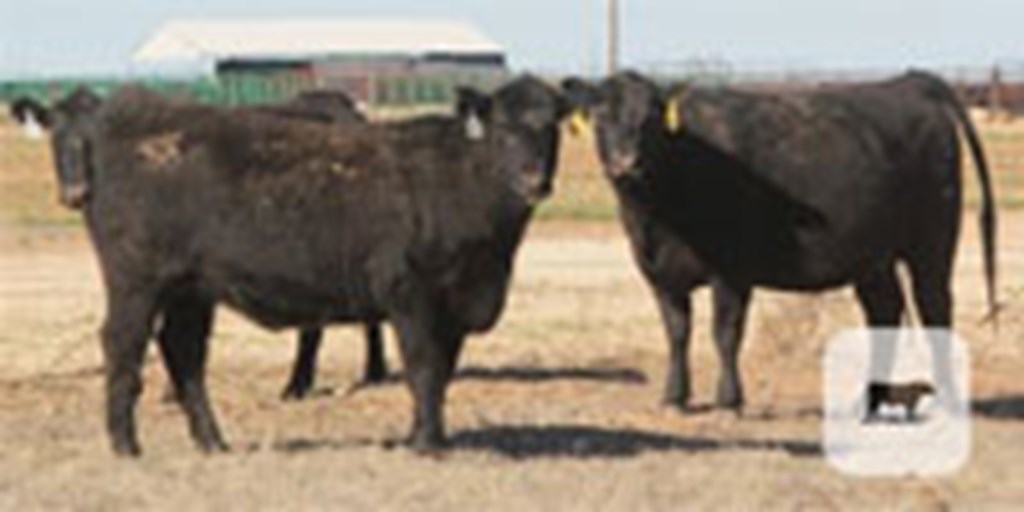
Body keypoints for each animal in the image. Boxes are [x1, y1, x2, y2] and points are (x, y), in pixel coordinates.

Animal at [562, 71, 996, 413]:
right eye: (600, 115)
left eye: (651, 118)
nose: (627, 162)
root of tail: (910, 82)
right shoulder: (660, 275)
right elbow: (677, 333)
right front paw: (675, 397)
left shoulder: (731, 271)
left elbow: (725, 334)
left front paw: (729, 401)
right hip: (873, 257)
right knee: (884, 311)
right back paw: (870, 400)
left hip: (932, 243)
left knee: (935, 306)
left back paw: (945, 400)